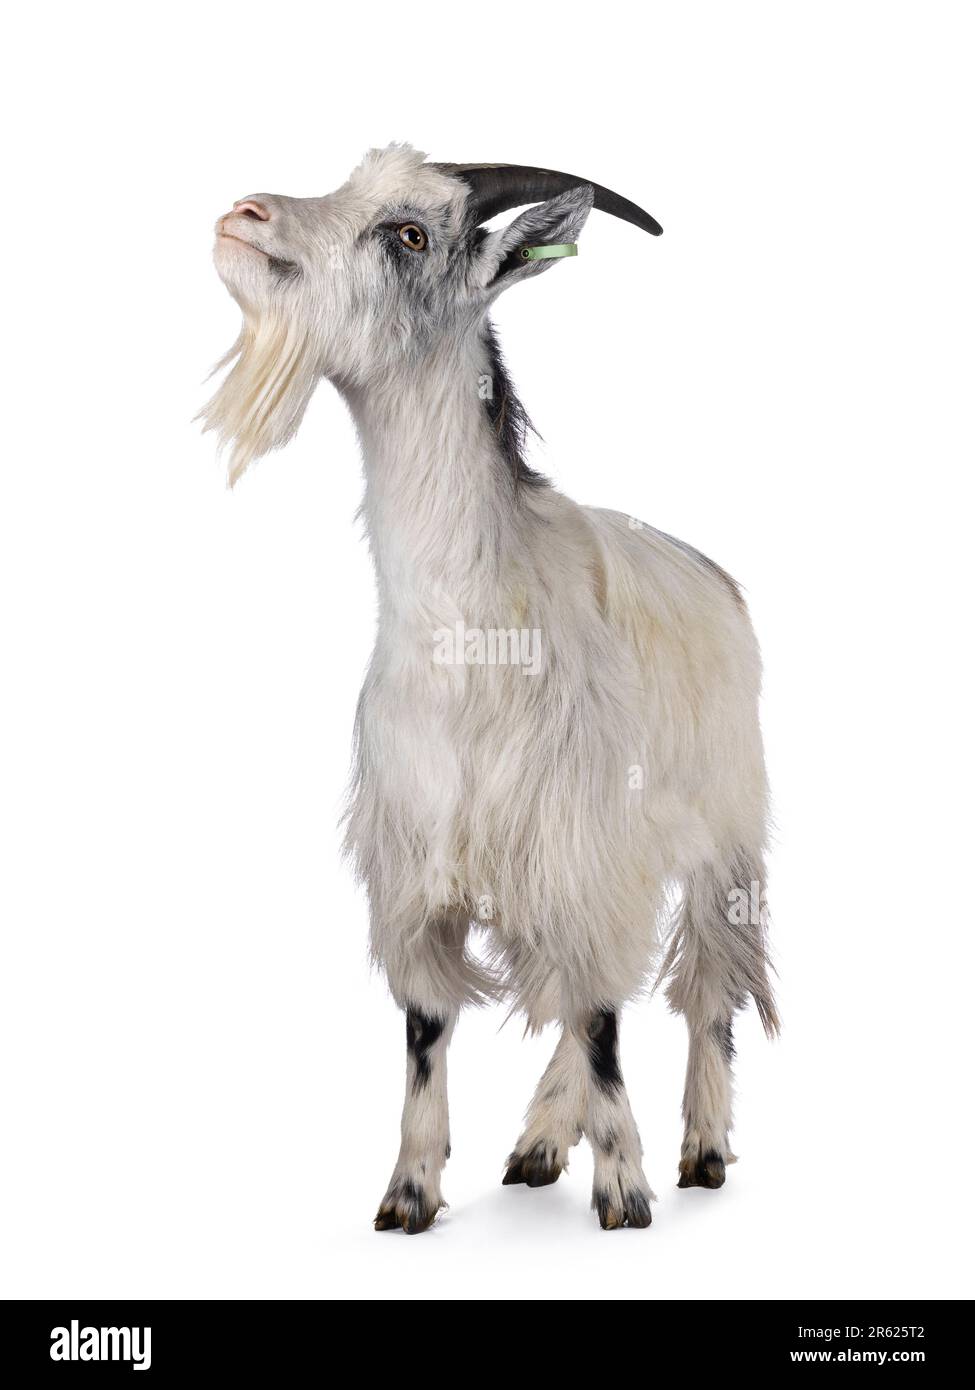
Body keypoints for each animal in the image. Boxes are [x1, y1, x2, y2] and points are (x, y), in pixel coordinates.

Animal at [201, 145, 778, 1234]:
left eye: (410, 232)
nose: (242, 215)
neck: (472, 638)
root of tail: (714, 575)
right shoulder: (421, 860)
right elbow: (431, 1030)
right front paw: (407, 1194)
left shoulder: (585, 844)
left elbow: (602, 1022)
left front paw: (626, 1191)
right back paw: (541, 1143)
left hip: (724, 830)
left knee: (704, 991)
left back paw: (702, 1150)